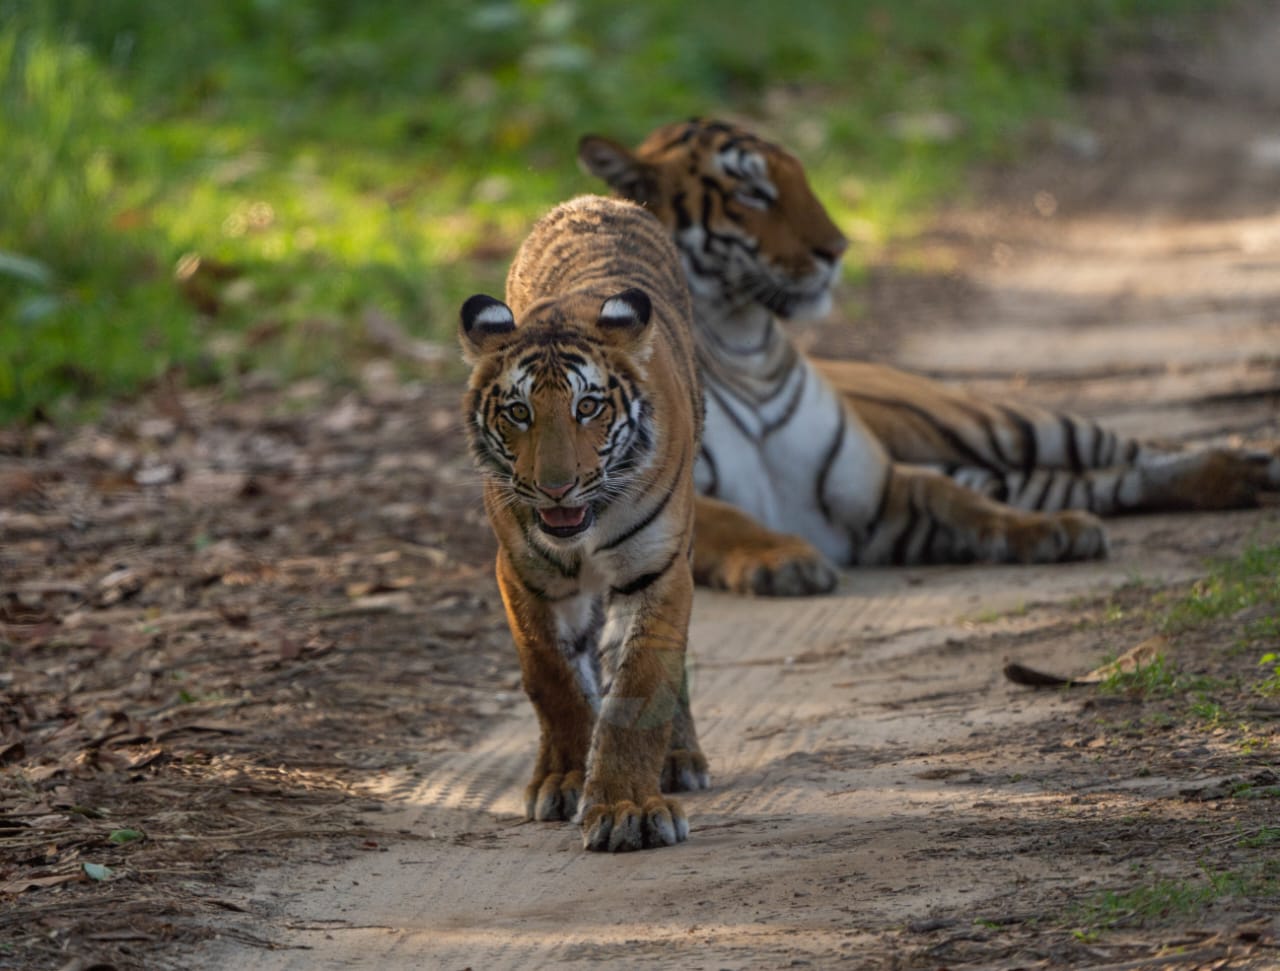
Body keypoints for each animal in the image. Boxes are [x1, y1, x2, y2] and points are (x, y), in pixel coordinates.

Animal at [460, 194, 752, 851]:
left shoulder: (656, 570)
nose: (555, 486)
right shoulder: (525, 573)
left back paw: (679, 759)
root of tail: (594, 200)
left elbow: (639, 689)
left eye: (587, 407)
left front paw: (627, 809)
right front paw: (566, 778)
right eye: (518, 412)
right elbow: (554, 680)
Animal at [578, 118, 1280, 591]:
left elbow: (958, 502)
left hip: (1006, 425)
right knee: (1094, 480)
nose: (838, 249)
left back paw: (1247, 468)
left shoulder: (878, 489)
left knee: (1127, 452)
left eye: (801, 178)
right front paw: (788, 559)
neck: (745, 343)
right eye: (753, 193)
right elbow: (733, 521)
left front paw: (1042, 532)